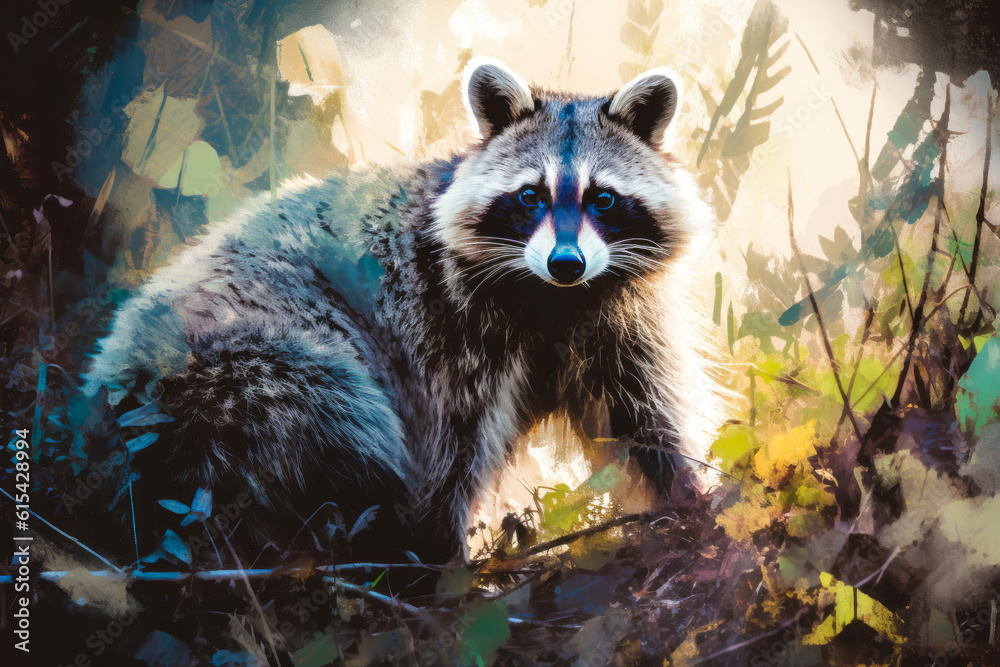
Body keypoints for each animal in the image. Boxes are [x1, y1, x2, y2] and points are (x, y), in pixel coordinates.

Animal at [83, 58, 719, 562]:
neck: (554, 297)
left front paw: (688, 496)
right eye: (530, 196)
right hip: (244, 369)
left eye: (602, 198)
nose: (566, 262)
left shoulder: (614, 315)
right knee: (351, 424)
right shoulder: (441, 322)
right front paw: (444, 555)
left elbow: (642, 413)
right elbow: (448, 449)